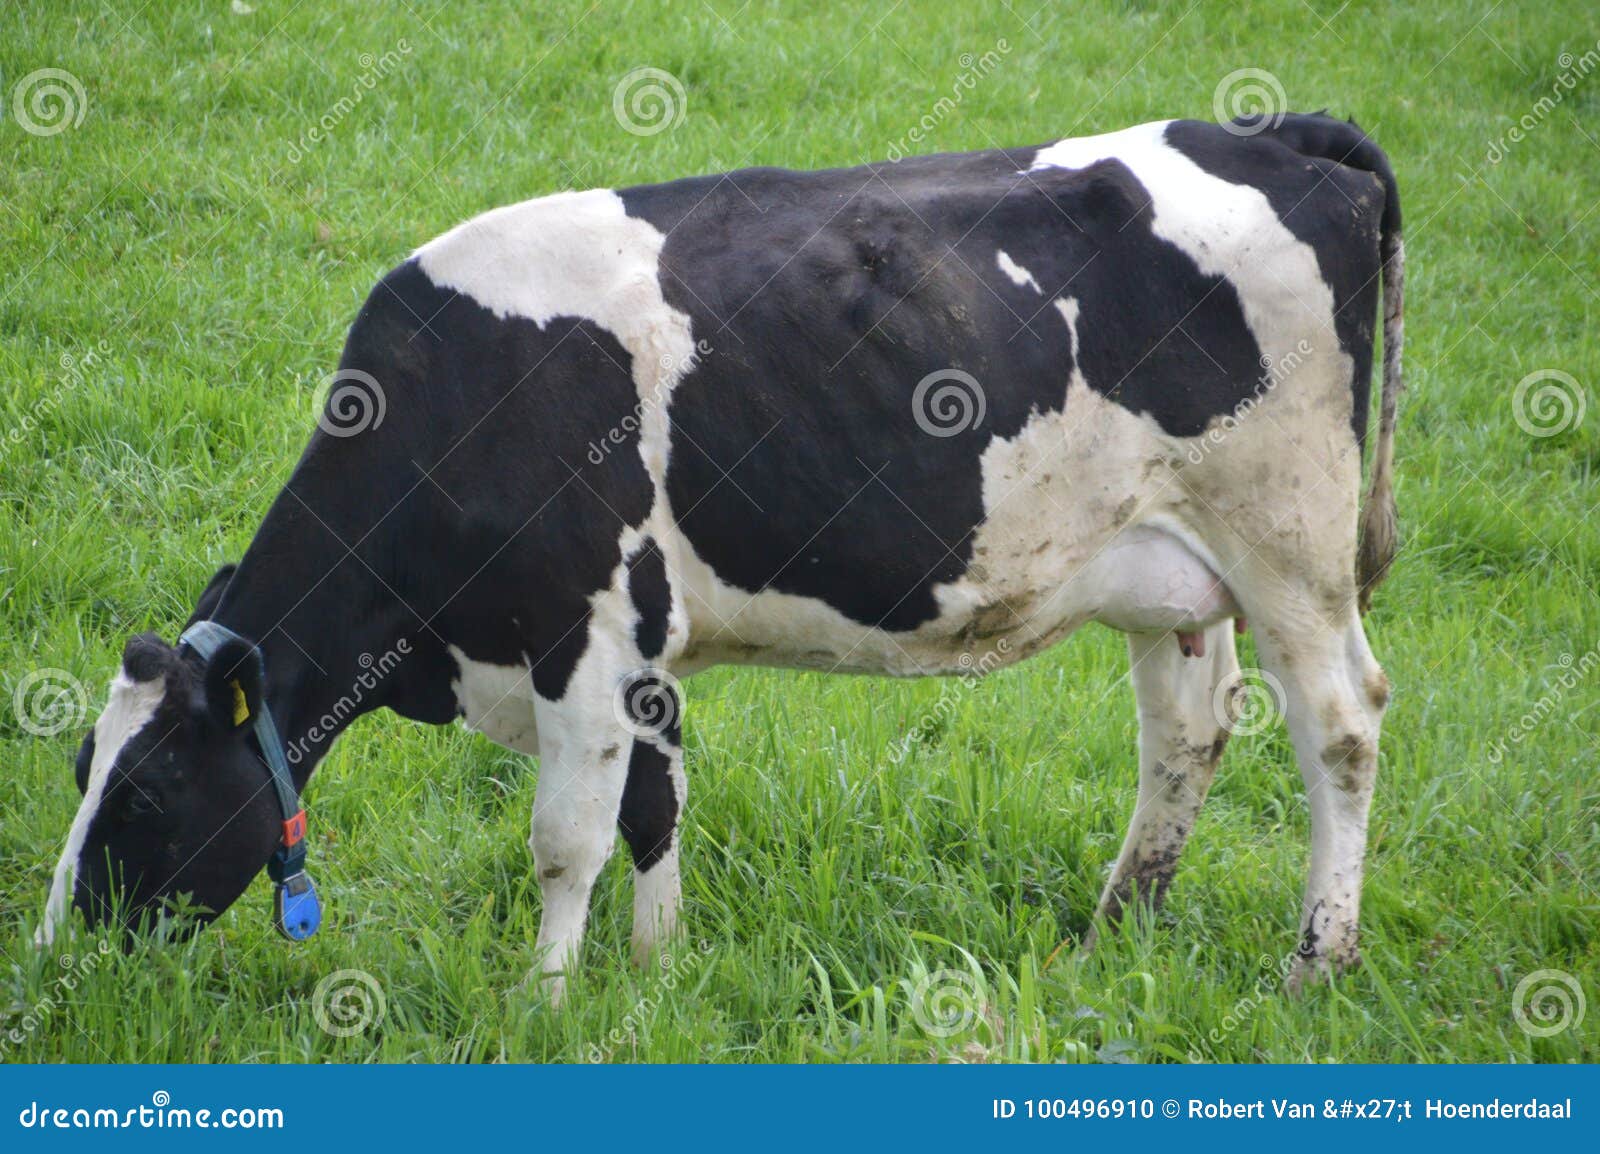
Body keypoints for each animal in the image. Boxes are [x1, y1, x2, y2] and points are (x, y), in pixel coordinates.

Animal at [41, 112, 1402, 1000]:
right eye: (79, 766)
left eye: (146, 790)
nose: (59, 954)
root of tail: (1276, 134)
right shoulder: (639, 650)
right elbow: (654, 805)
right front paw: (657, 970)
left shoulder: (584, 638)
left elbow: (566, 836)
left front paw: (540, 1004)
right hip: (1169, 567)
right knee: (1186, 731)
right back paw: (1116, 926)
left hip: (1289, 539)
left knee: (1340, 723)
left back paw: (1314, 960)